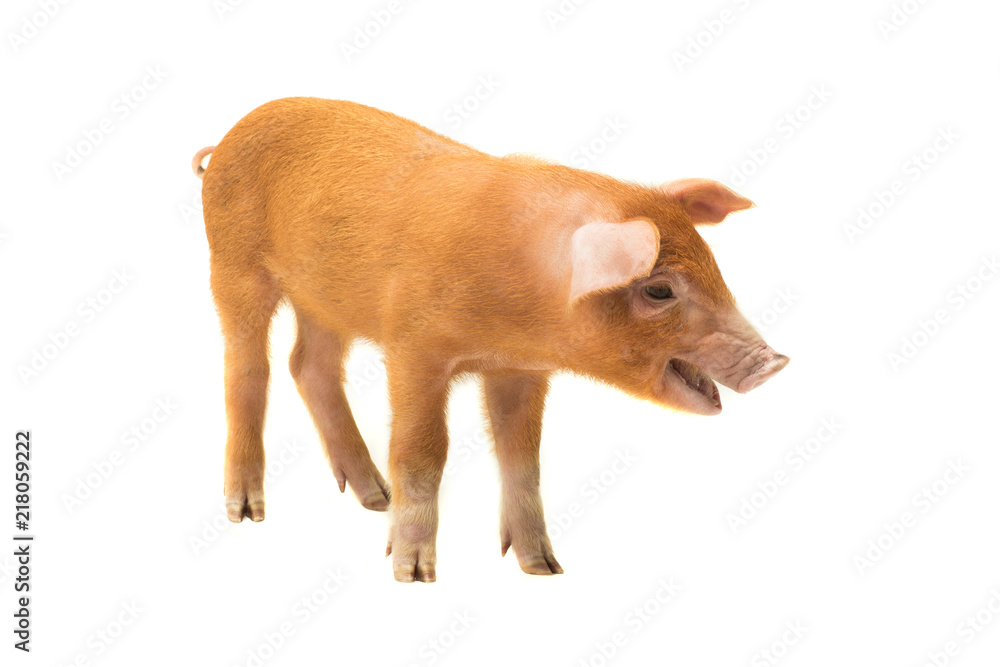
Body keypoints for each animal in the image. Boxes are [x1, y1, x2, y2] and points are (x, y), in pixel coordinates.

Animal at [192, 97, 788, 583]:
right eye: (660, 289)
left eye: (714, 267)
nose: (775, 361)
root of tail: (226, 139)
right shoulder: (413, 349)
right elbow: (423, 451)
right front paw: (414, 575)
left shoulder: (519, 370)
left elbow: (524, 458)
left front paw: (544, 569)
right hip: (234, 264)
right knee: (247, 367)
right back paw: (247, 512)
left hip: (323, 299)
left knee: (309, 366)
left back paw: (375, 498)